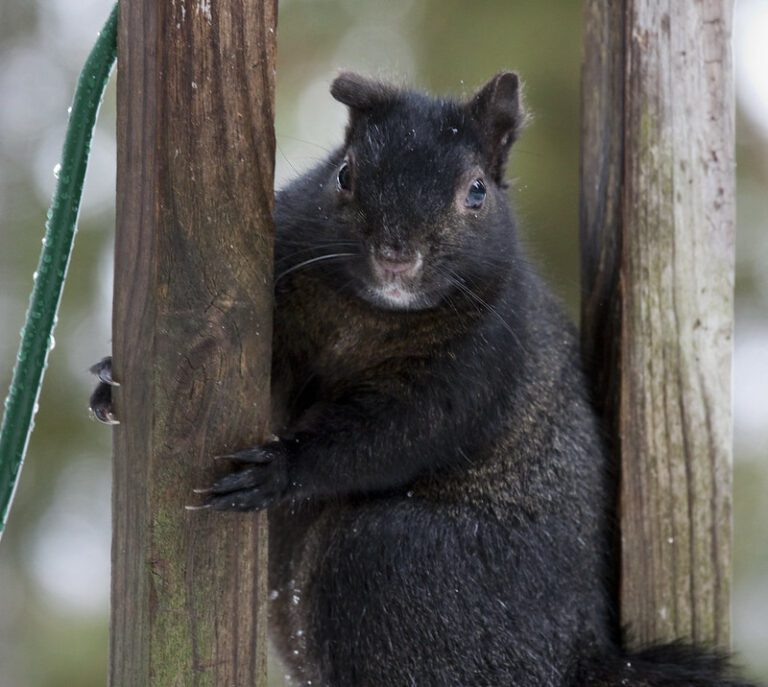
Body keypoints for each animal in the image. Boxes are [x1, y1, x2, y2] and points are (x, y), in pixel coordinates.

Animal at [90, 72, 758, 687]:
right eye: (344, 174)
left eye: (477, 192)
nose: (395, 256)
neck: (368, 313)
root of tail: (580, 659)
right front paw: (107, 380)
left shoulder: (476, 368)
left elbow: (392, 436)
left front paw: (280, 468)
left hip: (396, 561)